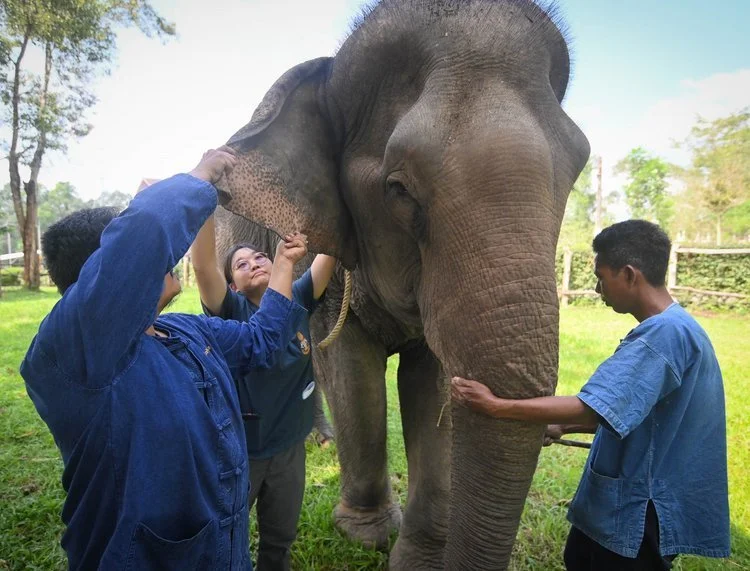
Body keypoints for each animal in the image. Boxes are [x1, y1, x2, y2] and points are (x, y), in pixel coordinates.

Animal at [214, 0, 590, 568]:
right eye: (398, 189)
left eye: (576, 172)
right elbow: (349, 369)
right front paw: (365, 535)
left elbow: (432, 380)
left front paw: (420, 556)